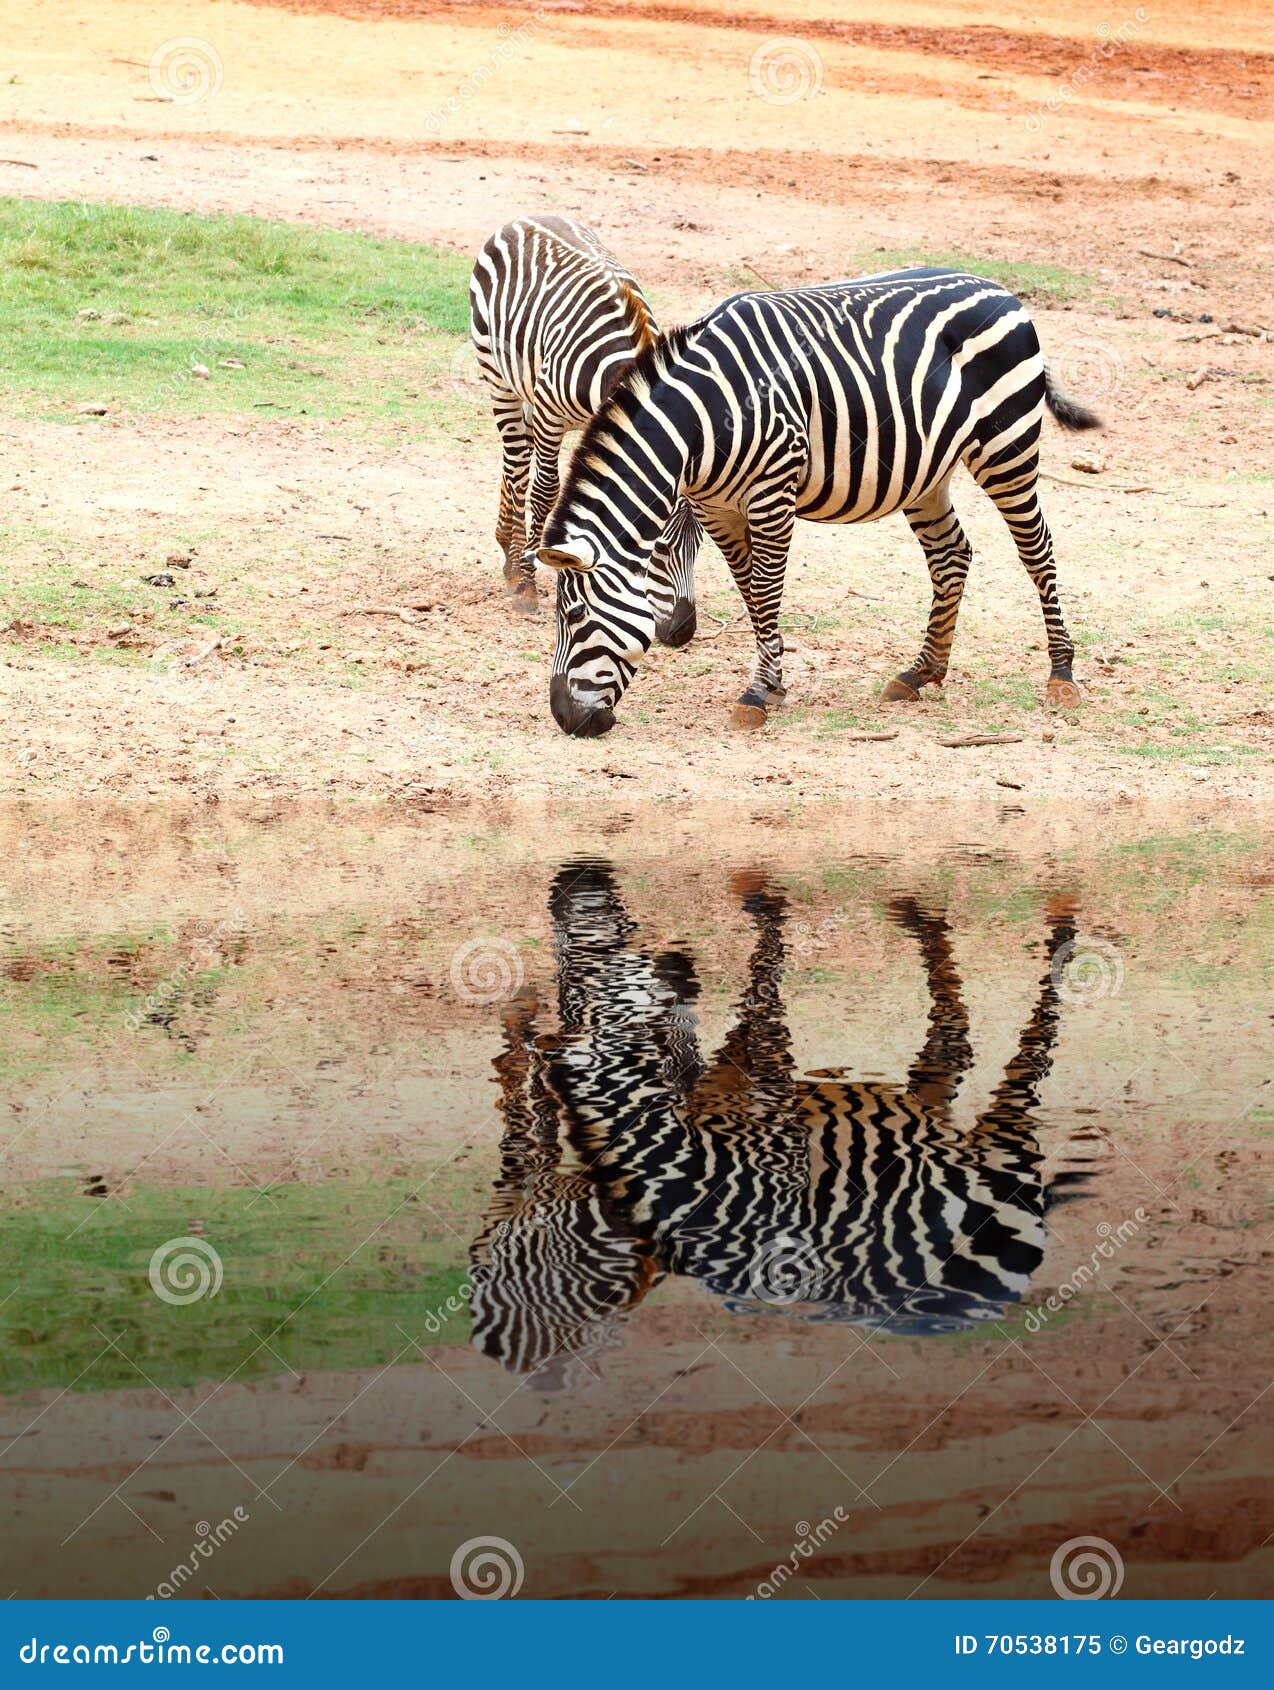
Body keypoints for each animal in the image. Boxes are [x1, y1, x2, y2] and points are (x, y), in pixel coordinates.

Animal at [468, 863, 1094, 1390]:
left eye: (575, 977)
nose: (574, 876)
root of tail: (982, 1305)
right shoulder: (741, 1091)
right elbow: (756, 1003)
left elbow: (759, 988)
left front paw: (758, 899)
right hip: (966, 1138)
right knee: (959, 1046)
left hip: (998, 1145)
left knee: (1003, 1047)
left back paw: (1045, 924)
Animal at [469, 215, 703, 645]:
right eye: (659, 549)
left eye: (699, 545)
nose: (683, 633)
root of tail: (528, 217)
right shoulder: (550, 416)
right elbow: (546, 493)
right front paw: (527, 584)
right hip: (497, 374)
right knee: (516, 463)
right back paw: (514, 562)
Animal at [535, 266, 1100, 737]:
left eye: (574, 617)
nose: (565, 720)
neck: (701, 421)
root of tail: (1002, 290)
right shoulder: (717, 508)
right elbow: (750, 592)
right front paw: (774, 683)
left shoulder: (771, 495)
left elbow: (765, 592)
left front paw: (758, 692)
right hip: (927, 470)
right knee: (950, 556)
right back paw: (922, 672)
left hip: (1007, 447)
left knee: (1037, 549)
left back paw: (1061, 673)